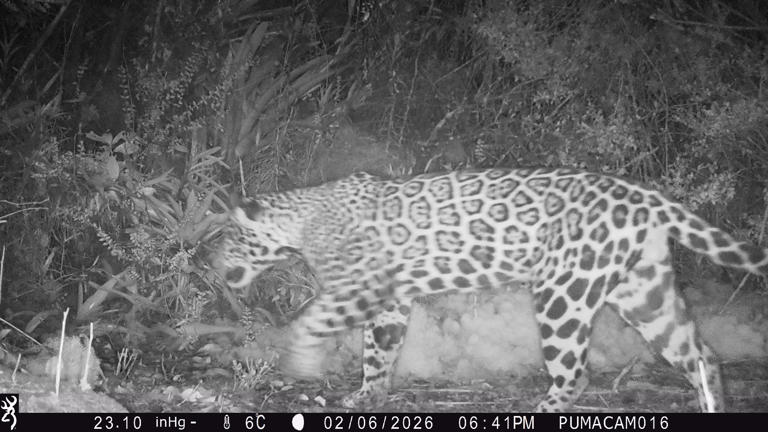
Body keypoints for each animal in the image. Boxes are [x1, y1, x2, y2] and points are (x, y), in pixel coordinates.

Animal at [215, 168, 768, 412]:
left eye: (230, 236)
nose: (212, 261)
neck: (301, 219)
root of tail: (643, 193)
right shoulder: (388, 301)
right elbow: (379, 350)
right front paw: (367, 394)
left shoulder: (357, 288)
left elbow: (310, 321)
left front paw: (300, 362)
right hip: (642, 290)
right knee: (700, 353)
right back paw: (713, 405)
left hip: (563, 292)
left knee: (577, 371)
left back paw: (544, 408)